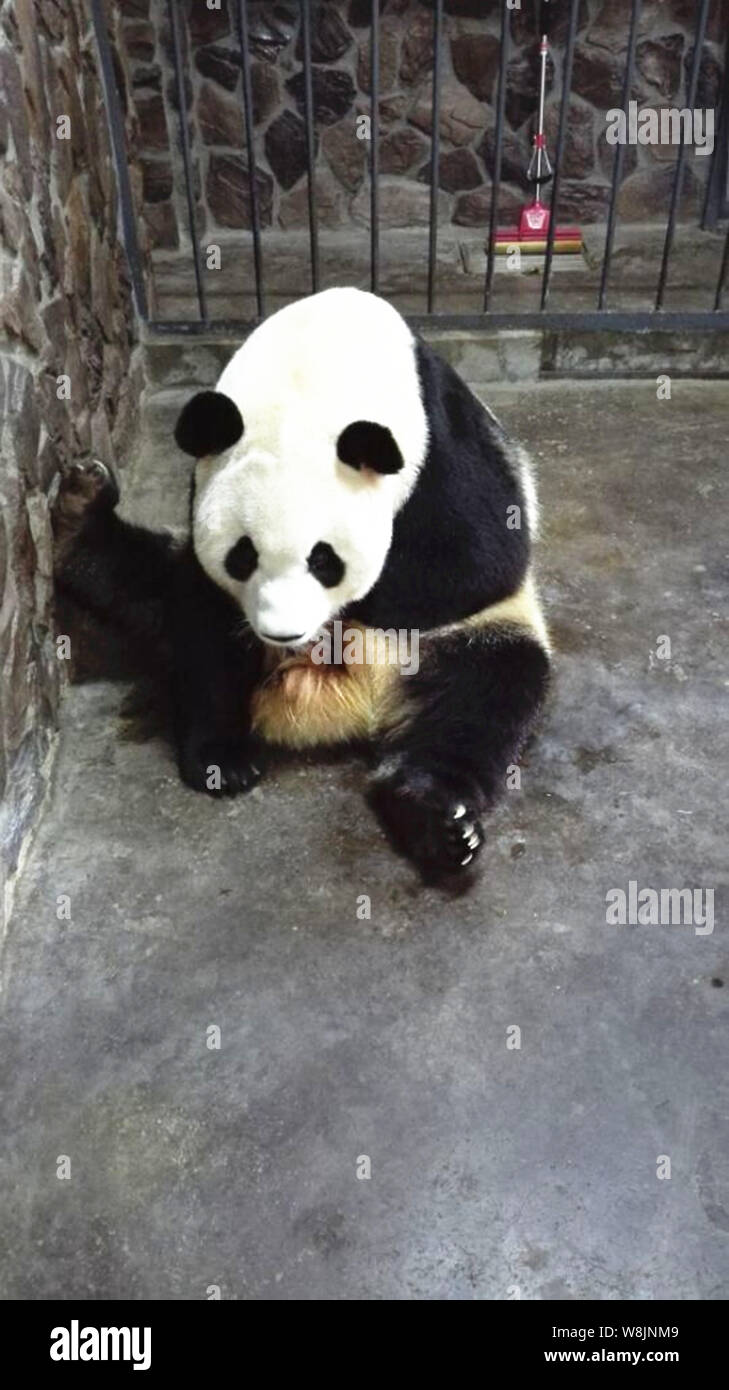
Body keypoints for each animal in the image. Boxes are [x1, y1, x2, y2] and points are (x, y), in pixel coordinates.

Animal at [53, 287, 550, 882]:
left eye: (323, 559)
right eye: (243, 556)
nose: (284, 632)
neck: (316, 366)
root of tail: (351, 701)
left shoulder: (443, 441)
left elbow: (480, 558)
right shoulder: (205, 490)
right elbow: (202, 598)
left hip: (469, 636)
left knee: (485, 695)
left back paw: (438, 817)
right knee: (185, 617)